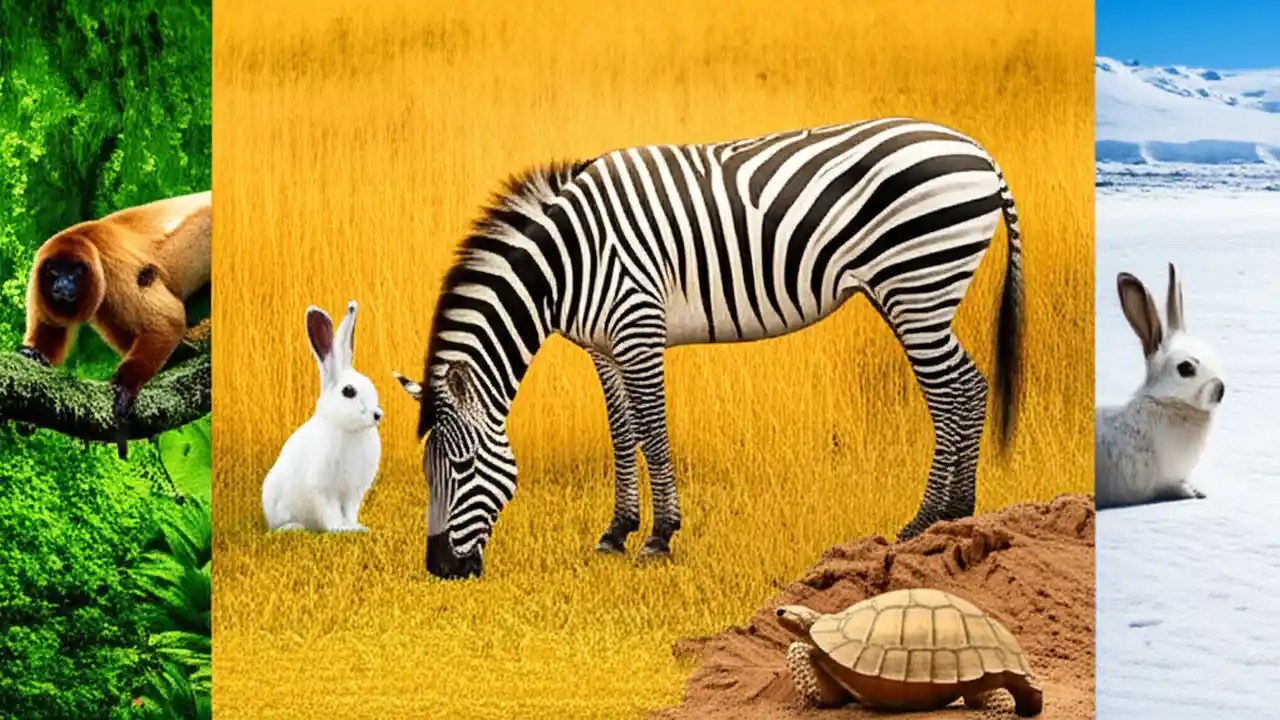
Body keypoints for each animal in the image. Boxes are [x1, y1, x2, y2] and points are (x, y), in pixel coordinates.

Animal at [18, 191, 212, 458]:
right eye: (54, 272)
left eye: (74, 272)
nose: (63, 285)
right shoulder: (38, 278)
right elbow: (51, 329)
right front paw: (36, 357)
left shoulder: (110, 267)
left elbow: (168, 320)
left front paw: (126, 384)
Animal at [262, 300, 383, 532]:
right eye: (349, 391)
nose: (377, 414)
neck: (349, 430)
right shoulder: (324, 488)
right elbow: (332, 511)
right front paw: (340, 529)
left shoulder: (353, 491)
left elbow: (350, 511)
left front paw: (356, 527)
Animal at [405, 117, 1023, 580]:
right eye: (427, 471)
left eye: (461, 466)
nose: (441, 569)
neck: (567, 261)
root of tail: (976, 150)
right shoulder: (604, 348)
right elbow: (621, 434)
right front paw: (617, 532)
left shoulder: (638, 327)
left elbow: (653, 433)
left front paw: (659, 538)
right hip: (918, 292)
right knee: (969, 386)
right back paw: (955, 518)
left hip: (917, 283)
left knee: (951, 393)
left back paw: (923, 522)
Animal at [1095, 263, 1225, 510]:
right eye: (1186, 368)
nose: (1220, 389)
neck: (1166, 401)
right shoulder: (1166, 481)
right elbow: (1177, 488)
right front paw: (1195, 493)